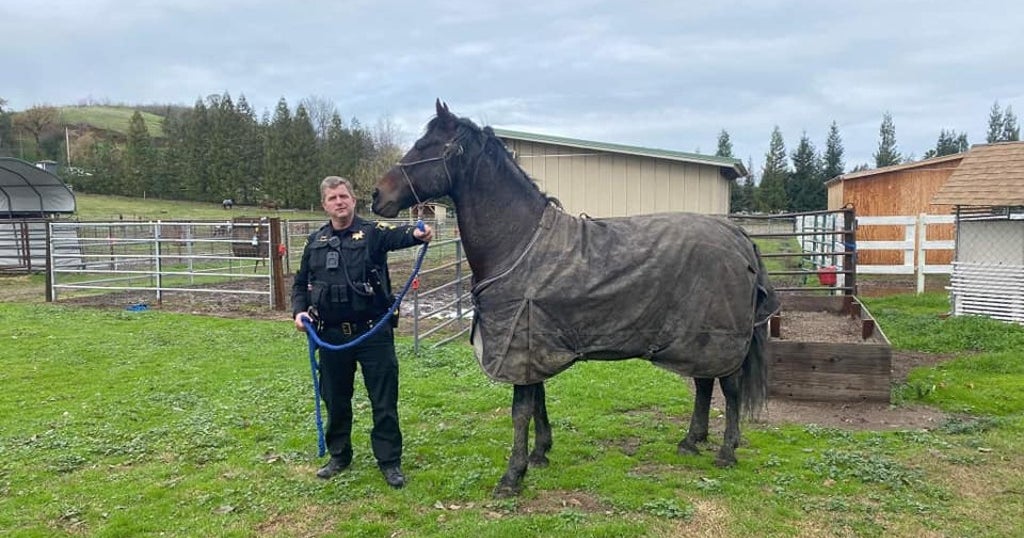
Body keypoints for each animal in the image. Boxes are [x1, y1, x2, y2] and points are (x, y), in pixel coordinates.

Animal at [372, 100, 780, 498]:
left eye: (426, 146)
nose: (378, 195)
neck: (519, 243)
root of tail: (737, 236)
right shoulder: (533, 343)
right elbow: (537, 402)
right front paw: (540, 454)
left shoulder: (520, 344)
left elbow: (521, 410)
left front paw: (512, 477)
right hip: (696, 337)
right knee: (704, 382)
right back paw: (691, 441)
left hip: (720, 337)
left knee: (729, 388)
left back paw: (726, 451)